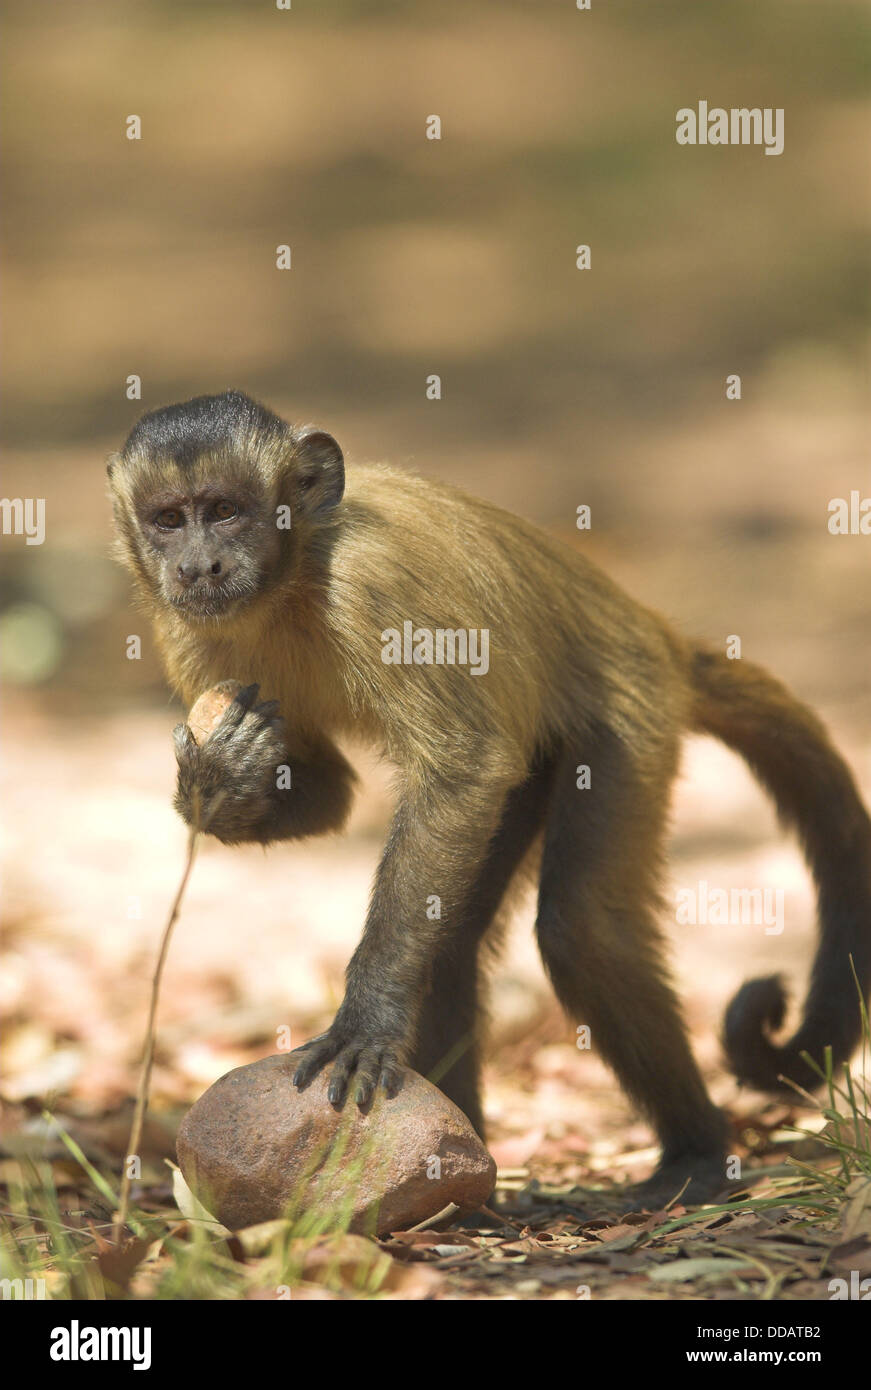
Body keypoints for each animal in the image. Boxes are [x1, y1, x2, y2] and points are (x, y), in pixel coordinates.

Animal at [108, 389, 871, 1202]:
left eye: (224, 510)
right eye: (167, 520)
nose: (198, 565)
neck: (292, 577)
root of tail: (651, 631)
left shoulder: (373, 584)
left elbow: (462, 768)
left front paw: (365, 1019)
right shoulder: (182, 633)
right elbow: (332, 795)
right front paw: (219, 783)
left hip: (632, 708)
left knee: (582, 930)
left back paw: (695, 1157)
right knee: (452, 946)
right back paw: (467, 1184)